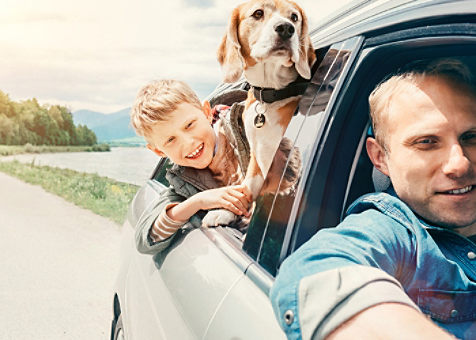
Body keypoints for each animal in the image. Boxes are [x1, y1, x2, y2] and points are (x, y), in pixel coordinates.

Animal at [202, 0, 316, 228]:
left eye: (294, 17)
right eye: (258, 13)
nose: (286, 28)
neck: (270, 93)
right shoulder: (258, 152)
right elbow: (248, 184)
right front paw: (226, 211)